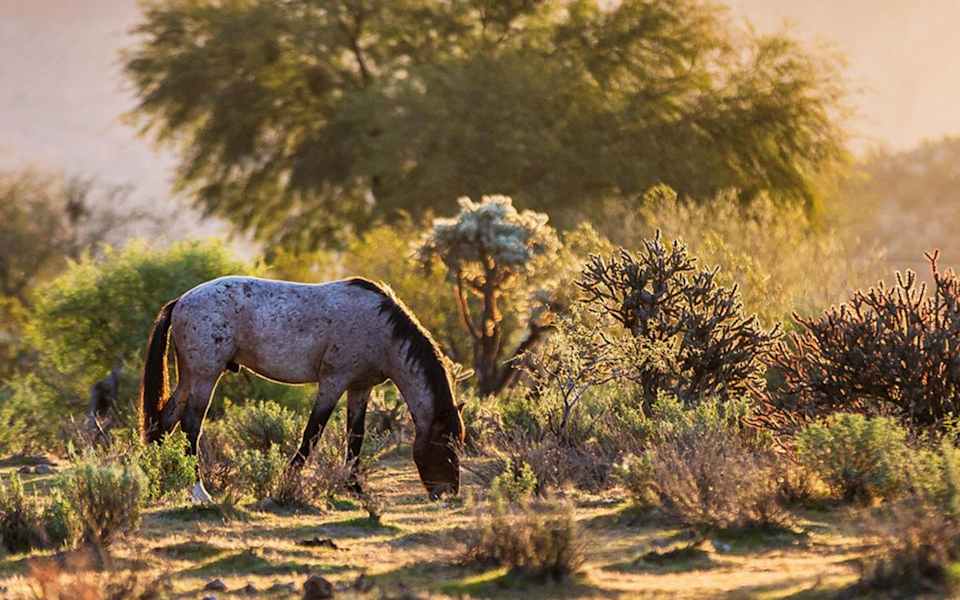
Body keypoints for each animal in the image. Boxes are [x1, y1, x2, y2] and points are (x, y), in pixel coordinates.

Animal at [138, 276, 465, 502]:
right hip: (205, 377)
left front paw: (355, 488)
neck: (381, 330)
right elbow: (312, 433)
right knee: (191, 425)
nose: (449, 493)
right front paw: (287, 481)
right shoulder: (332, 383)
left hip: (190, 377)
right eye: (445, 445)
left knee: (165, 421)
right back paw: (198, 491)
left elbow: (355, 437)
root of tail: (181, 301)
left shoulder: (360, 388)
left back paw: (157, 481)